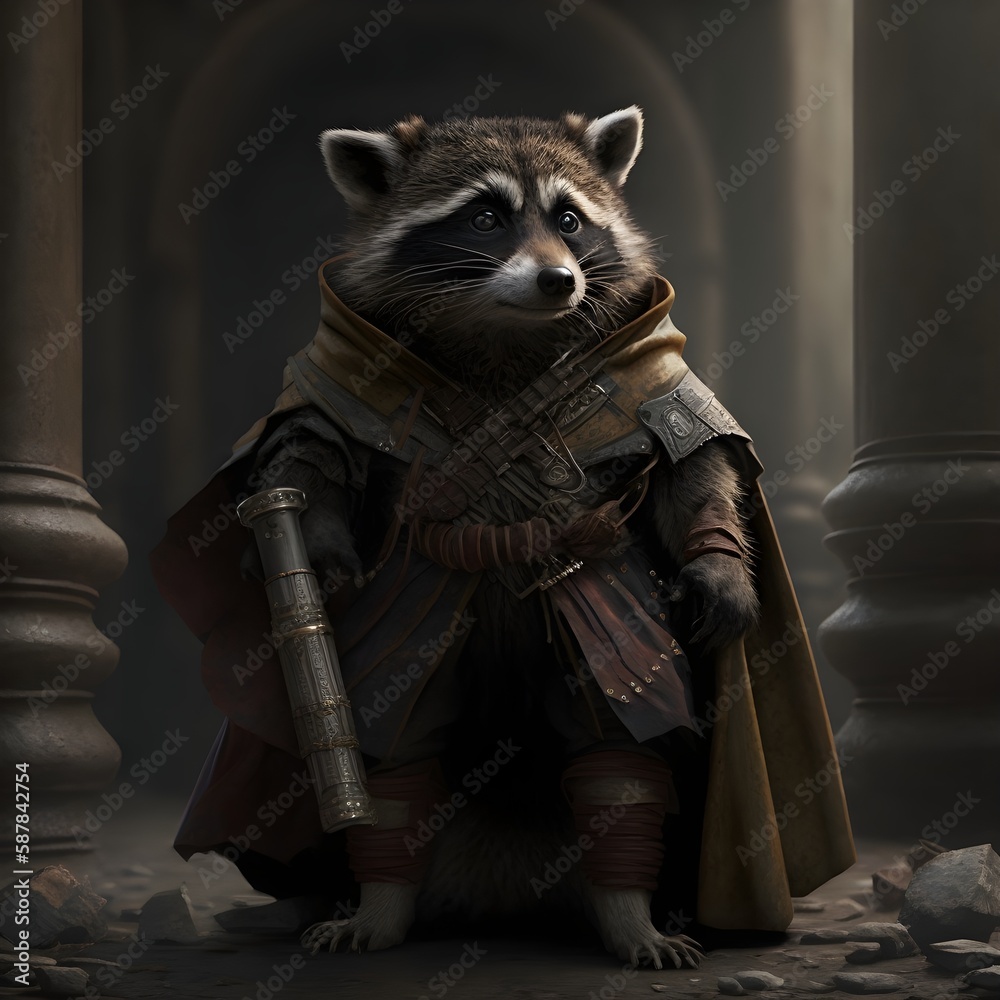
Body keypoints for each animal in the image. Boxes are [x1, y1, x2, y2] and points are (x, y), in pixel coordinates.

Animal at [246, 108, 759, 970]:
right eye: (484, 217)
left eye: (569, 219)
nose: (559, 281)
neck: (505, 329)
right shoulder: (344, 367)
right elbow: (314, 444)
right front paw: (315, 544)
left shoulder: (646, 363)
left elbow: (688, 453)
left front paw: (719, 562)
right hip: (413, 609)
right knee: (395, 724)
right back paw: (382, 902)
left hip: (608, 607)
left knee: (618, 735)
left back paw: (628, 912)